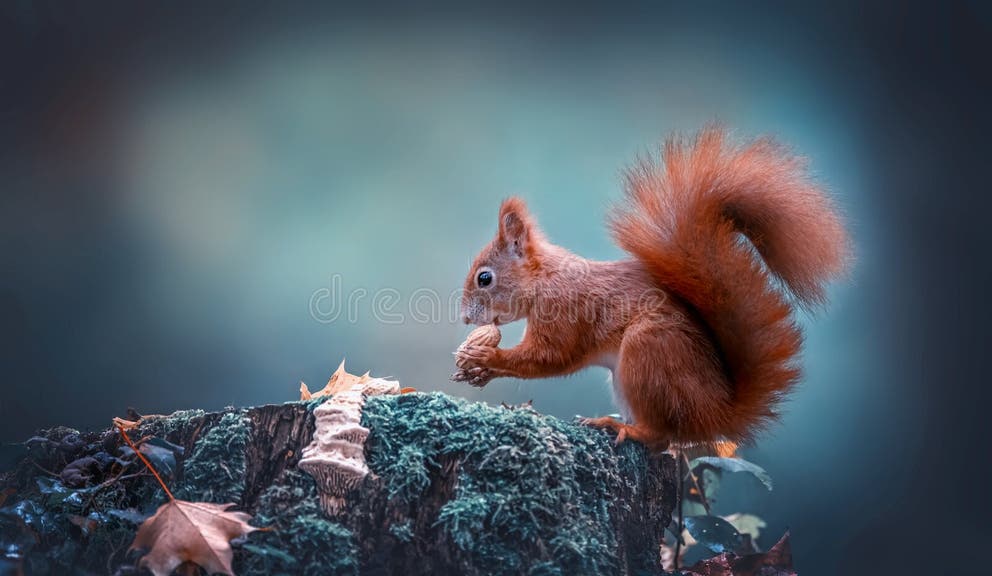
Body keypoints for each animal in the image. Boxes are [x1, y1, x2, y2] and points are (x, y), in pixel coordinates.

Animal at [452, 127, 850, 451]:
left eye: (484, 278)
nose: (465, 318)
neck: (545, 279)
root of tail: (717, 413)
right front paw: (478, 372)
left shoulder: (566, 309)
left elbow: (550, 356)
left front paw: (486, 357)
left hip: (649, 353)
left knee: (661, 436)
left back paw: (619, 426)